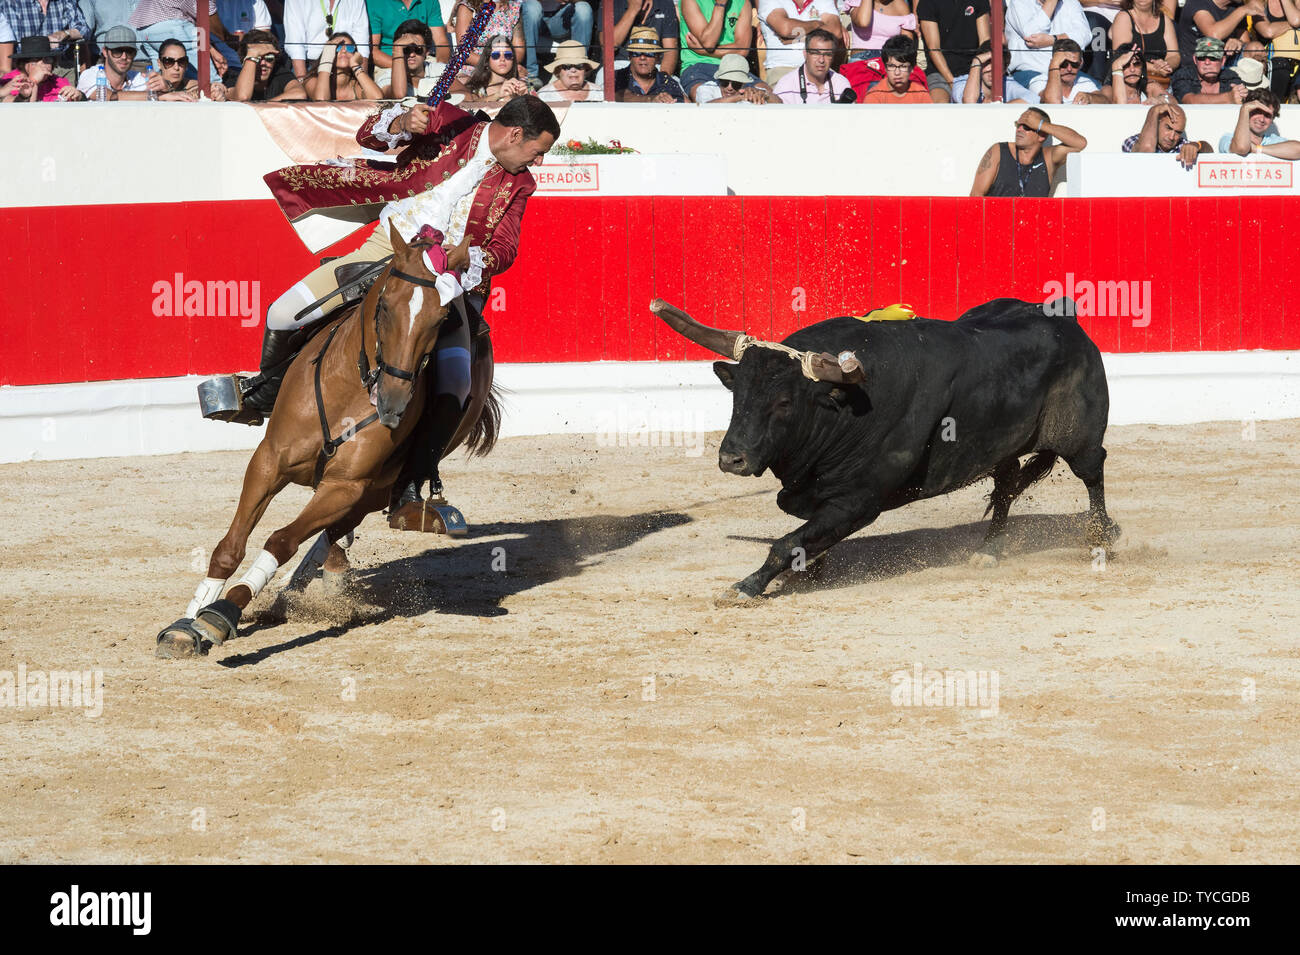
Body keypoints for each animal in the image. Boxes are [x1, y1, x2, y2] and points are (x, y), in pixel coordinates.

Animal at [156, 222, 500, 658]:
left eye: (442, 319)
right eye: (385, 306)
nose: (392, 402)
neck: (348, 390)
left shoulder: (345, 486)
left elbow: (282, 540)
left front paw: (220, 615)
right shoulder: (268, 462)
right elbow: (229, 547)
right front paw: (187, 625)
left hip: (371, 492)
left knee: (333, 531)